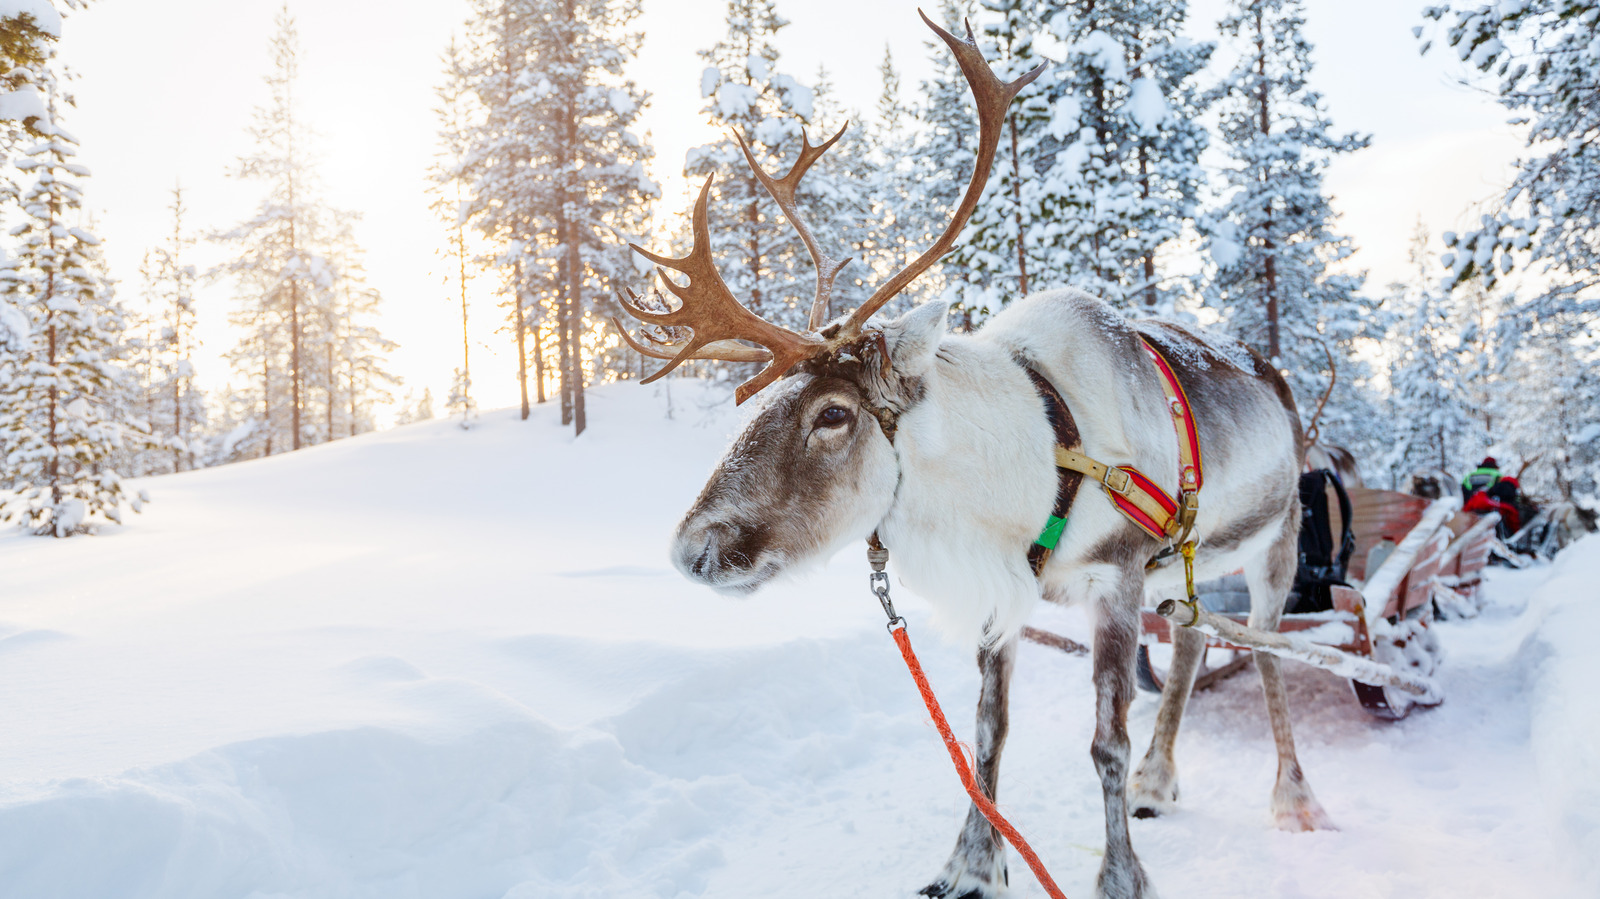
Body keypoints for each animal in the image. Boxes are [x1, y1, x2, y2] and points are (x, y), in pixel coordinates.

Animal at [614, 14, 1333, 899]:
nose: (692, 548)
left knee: (1266, 650)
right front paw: (969, 865)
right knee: (1197, 639)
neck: (1034, 461)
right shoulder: (1006, 590)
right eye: (761, 406)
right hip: (1187, 566)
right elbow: (988, 731)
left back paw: (1293, 795)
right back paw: (1160, 781)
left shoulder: (1119, 576)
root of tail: (1276, 375)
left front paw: (1120, 875)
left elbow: (1105, 739)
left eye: (833, 413)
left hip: (1277, 538)